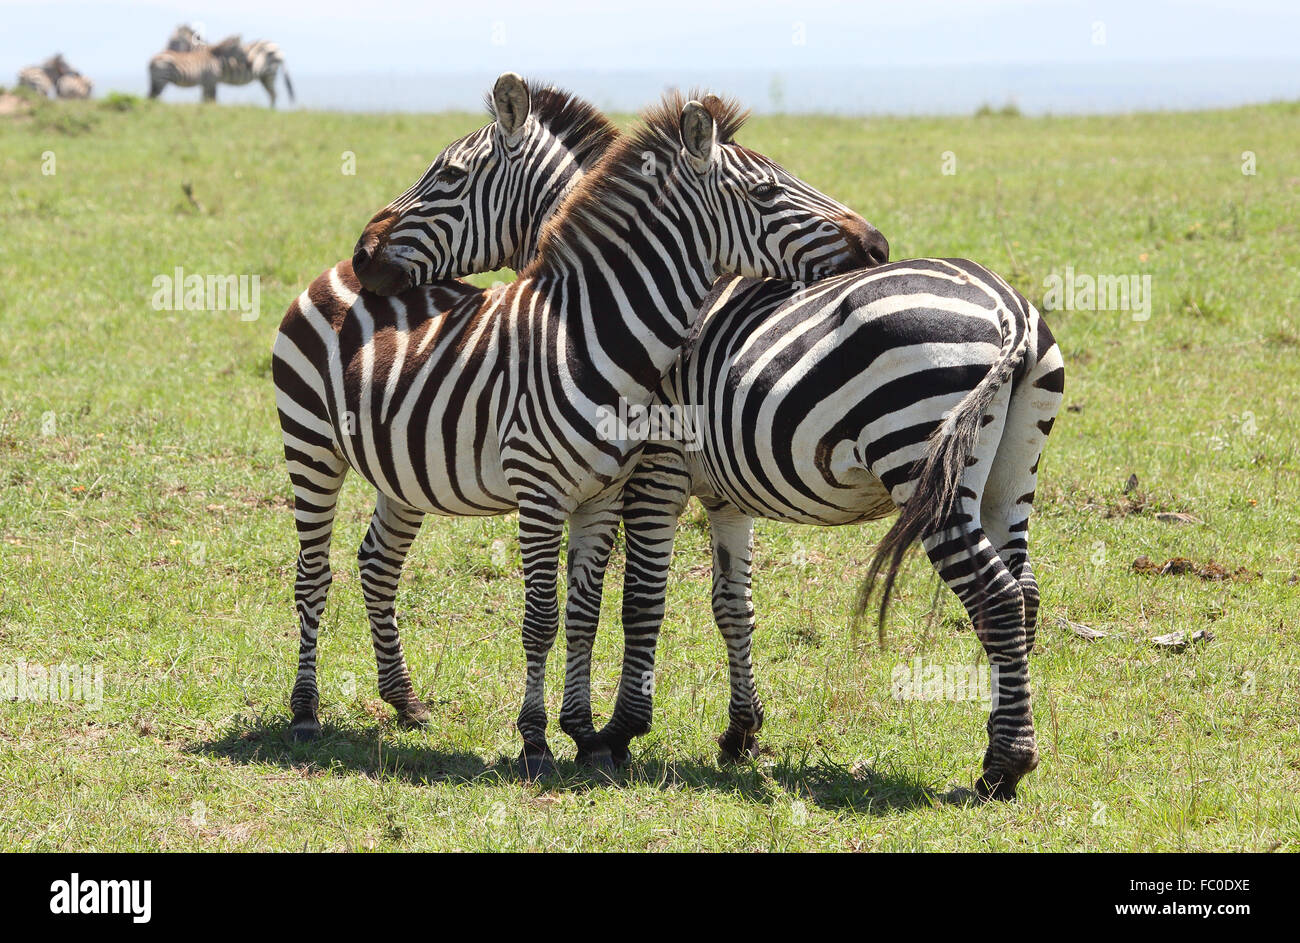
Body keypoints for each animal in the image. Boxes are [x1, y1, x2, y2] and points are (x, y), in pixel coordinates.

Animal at [148, 36, 293, 106]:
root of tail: (277, 48)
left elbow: (210, 100)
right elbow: (208, 100)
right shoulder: (208, 81)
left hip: (269, 74)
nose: (251, 64)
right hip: (265, 76)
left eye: (174, 42)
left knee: (273, 94)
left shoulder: (210, 81)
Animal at [275, 77, 882, 777]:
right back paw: (308, 712)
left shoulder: (622, 488)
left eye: (449, 174)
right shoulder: (591, 487)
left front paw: (591, 732)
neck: (585, 329)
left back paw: (400, 701)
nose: (364, 253)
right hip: (316, 447)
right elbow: (593, 609)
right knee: (318, 571)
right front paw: (563, 737)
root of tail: (329, 276)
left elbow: (602, 608)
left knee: (375, 563)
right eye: (765, 191)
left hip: (398, 467)